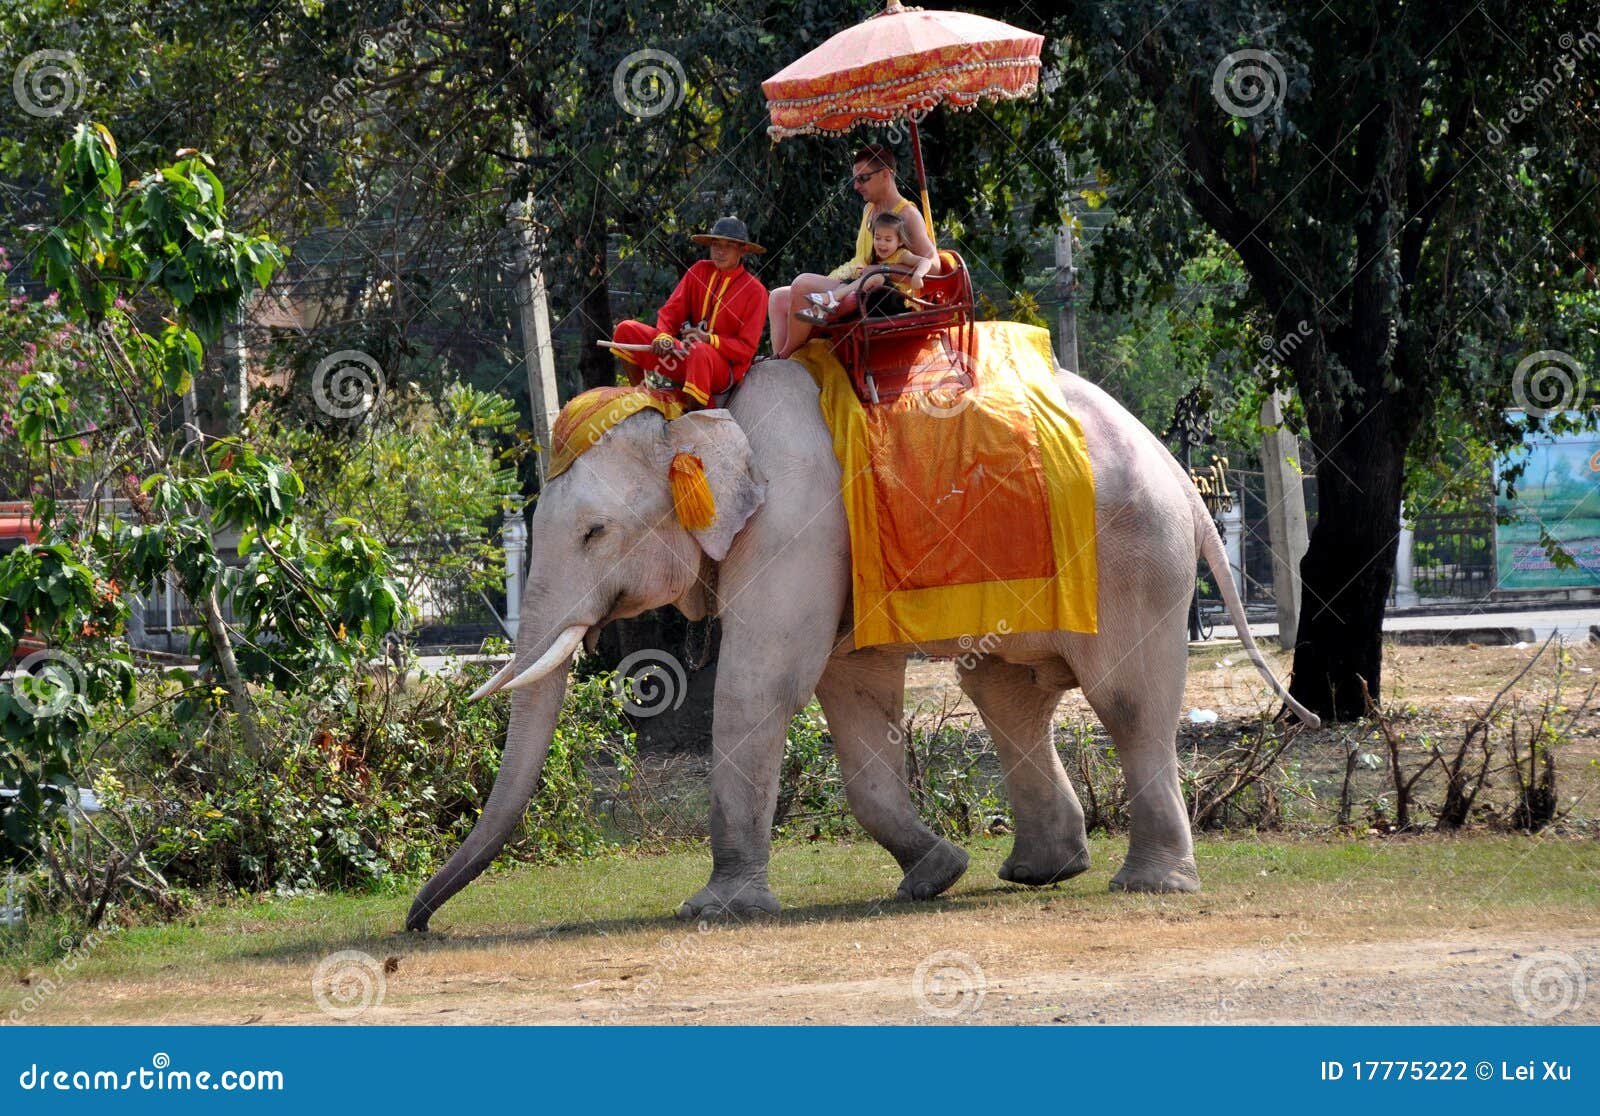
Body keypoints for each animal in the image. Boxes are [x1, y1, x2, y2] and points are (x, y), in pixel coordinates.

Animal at [406, 357, 1318, 931]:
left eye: (594, 533)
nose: (417, 923)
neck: (704, 408)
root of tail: (1186, 481)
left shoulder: (796, 523)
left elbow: (765, 682)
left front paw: (715, 912)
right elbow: (851, 691)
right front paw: (936, 874)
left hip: (1135, 559)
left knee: (1125, 700)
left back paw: (1149, 884)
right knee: (1004, 694)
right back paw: (1039, 871)